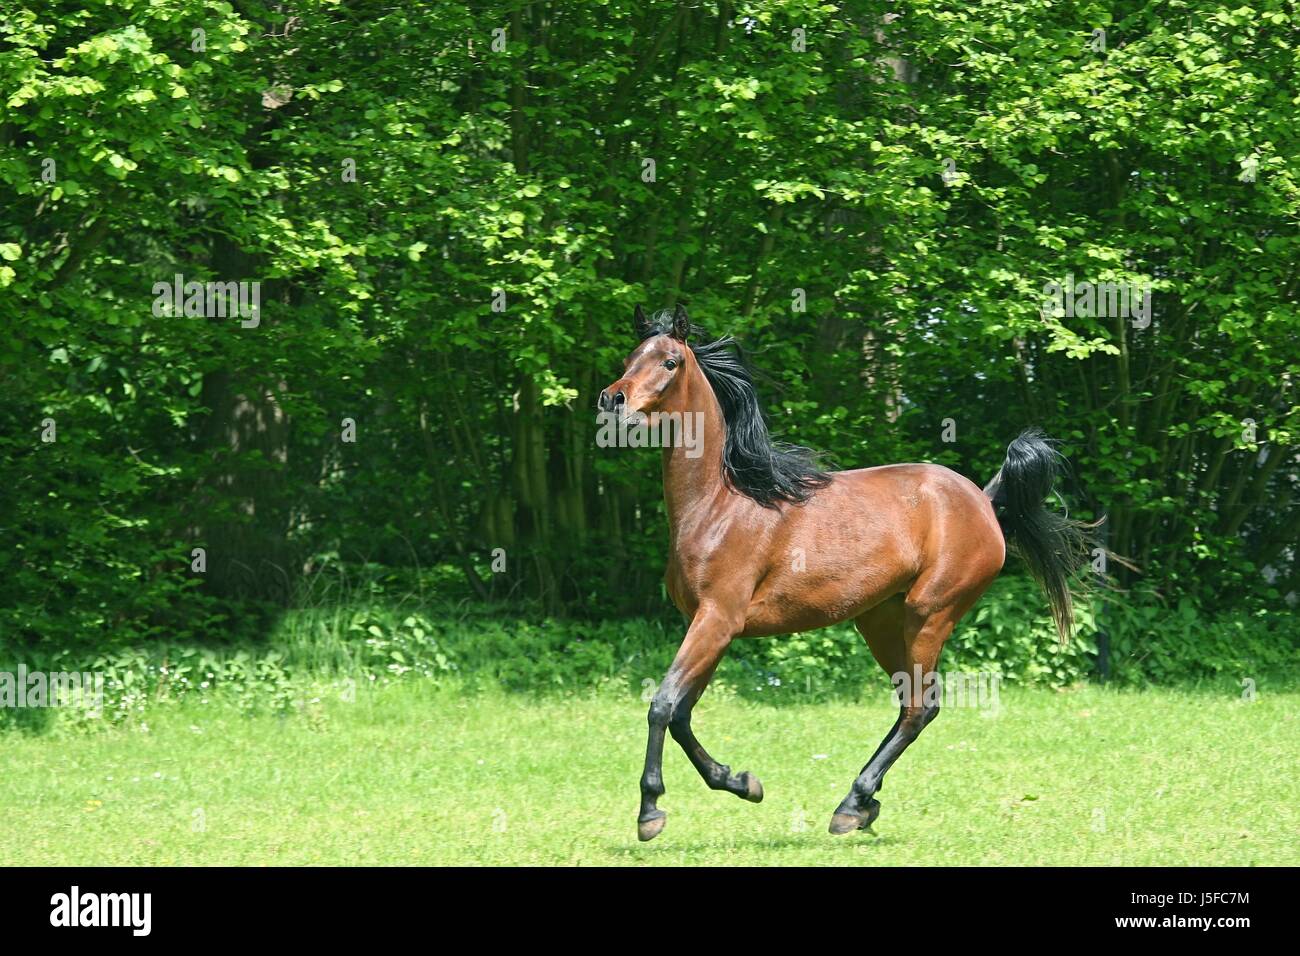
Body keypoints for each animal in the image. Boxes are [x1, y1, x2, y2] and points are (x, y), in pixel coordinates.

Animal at [598, 303, 1095, 841]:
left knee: (920, 707)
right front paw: (743, 783)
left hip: (929, 613)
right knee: (911, 703)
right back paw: (862, 805)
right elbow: (682, 714)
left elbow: (663, 704)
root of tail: (982, 500)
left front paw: (650, 811)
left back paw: (852, 804)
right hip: (879, 621)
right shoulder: (710, 626)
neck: (719, 504)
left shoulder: (718, 619)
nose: (612, 400)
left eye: (669, 362)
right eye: (630, 358)